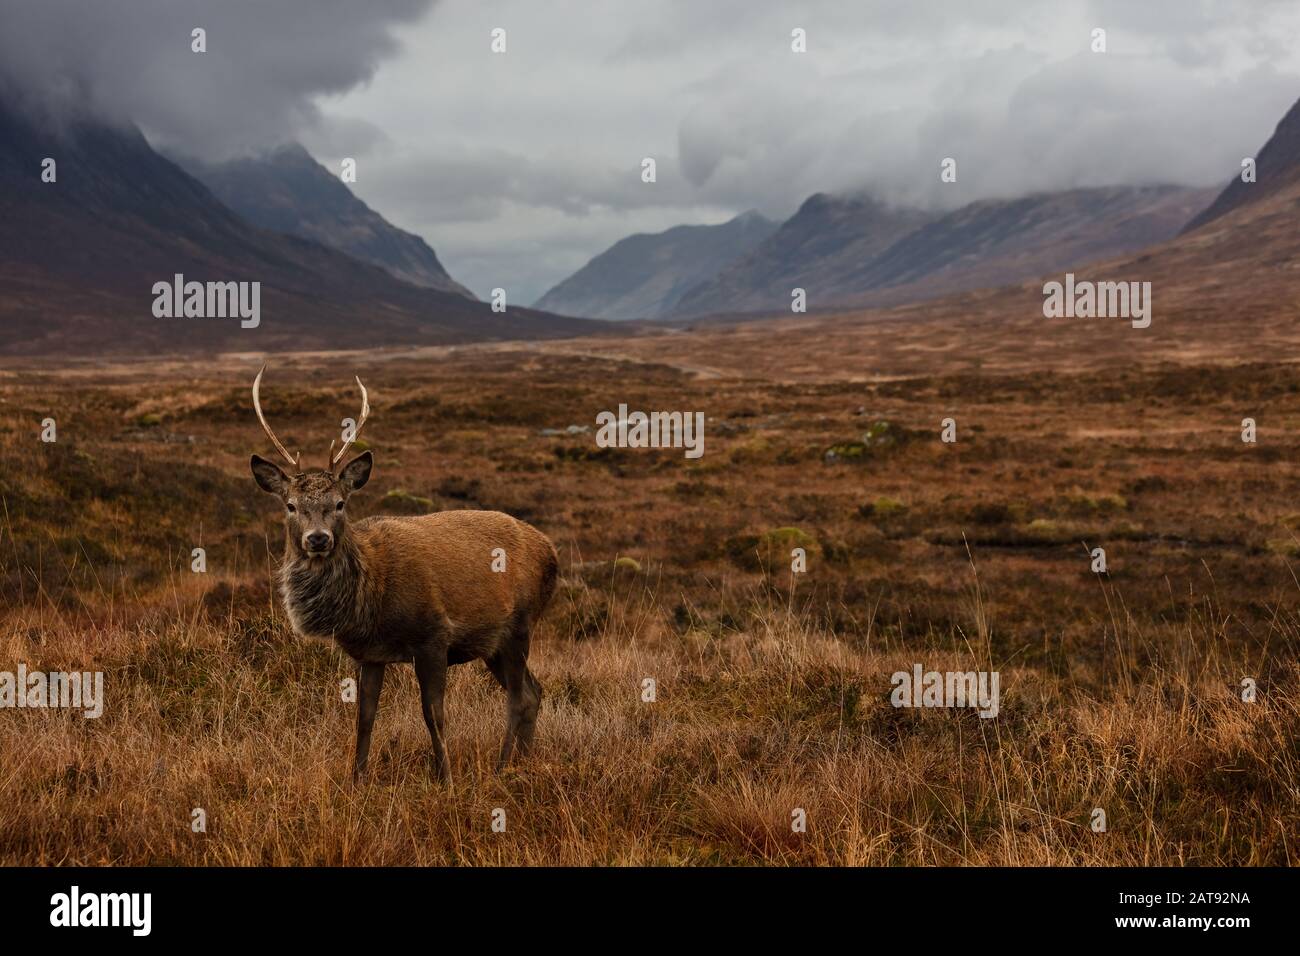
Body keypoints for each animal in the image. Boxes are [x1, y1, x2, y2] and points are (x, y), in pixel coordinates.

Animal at [248, 367, 558, 784]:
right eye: (291, 505)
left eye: (340, 503)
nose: (318, 539)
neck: (370, 599)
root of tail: (551, 551)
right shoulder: (369, 654)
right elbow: (364, 718)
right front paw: (356, 779)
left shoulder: (433, 636)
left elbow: (434, 715)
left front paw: (445, 778)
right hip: (493, 642)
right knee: (534, 691)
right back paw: (522, 761)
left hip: (520, 625)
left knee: (519, 697)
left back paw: (501, 766)